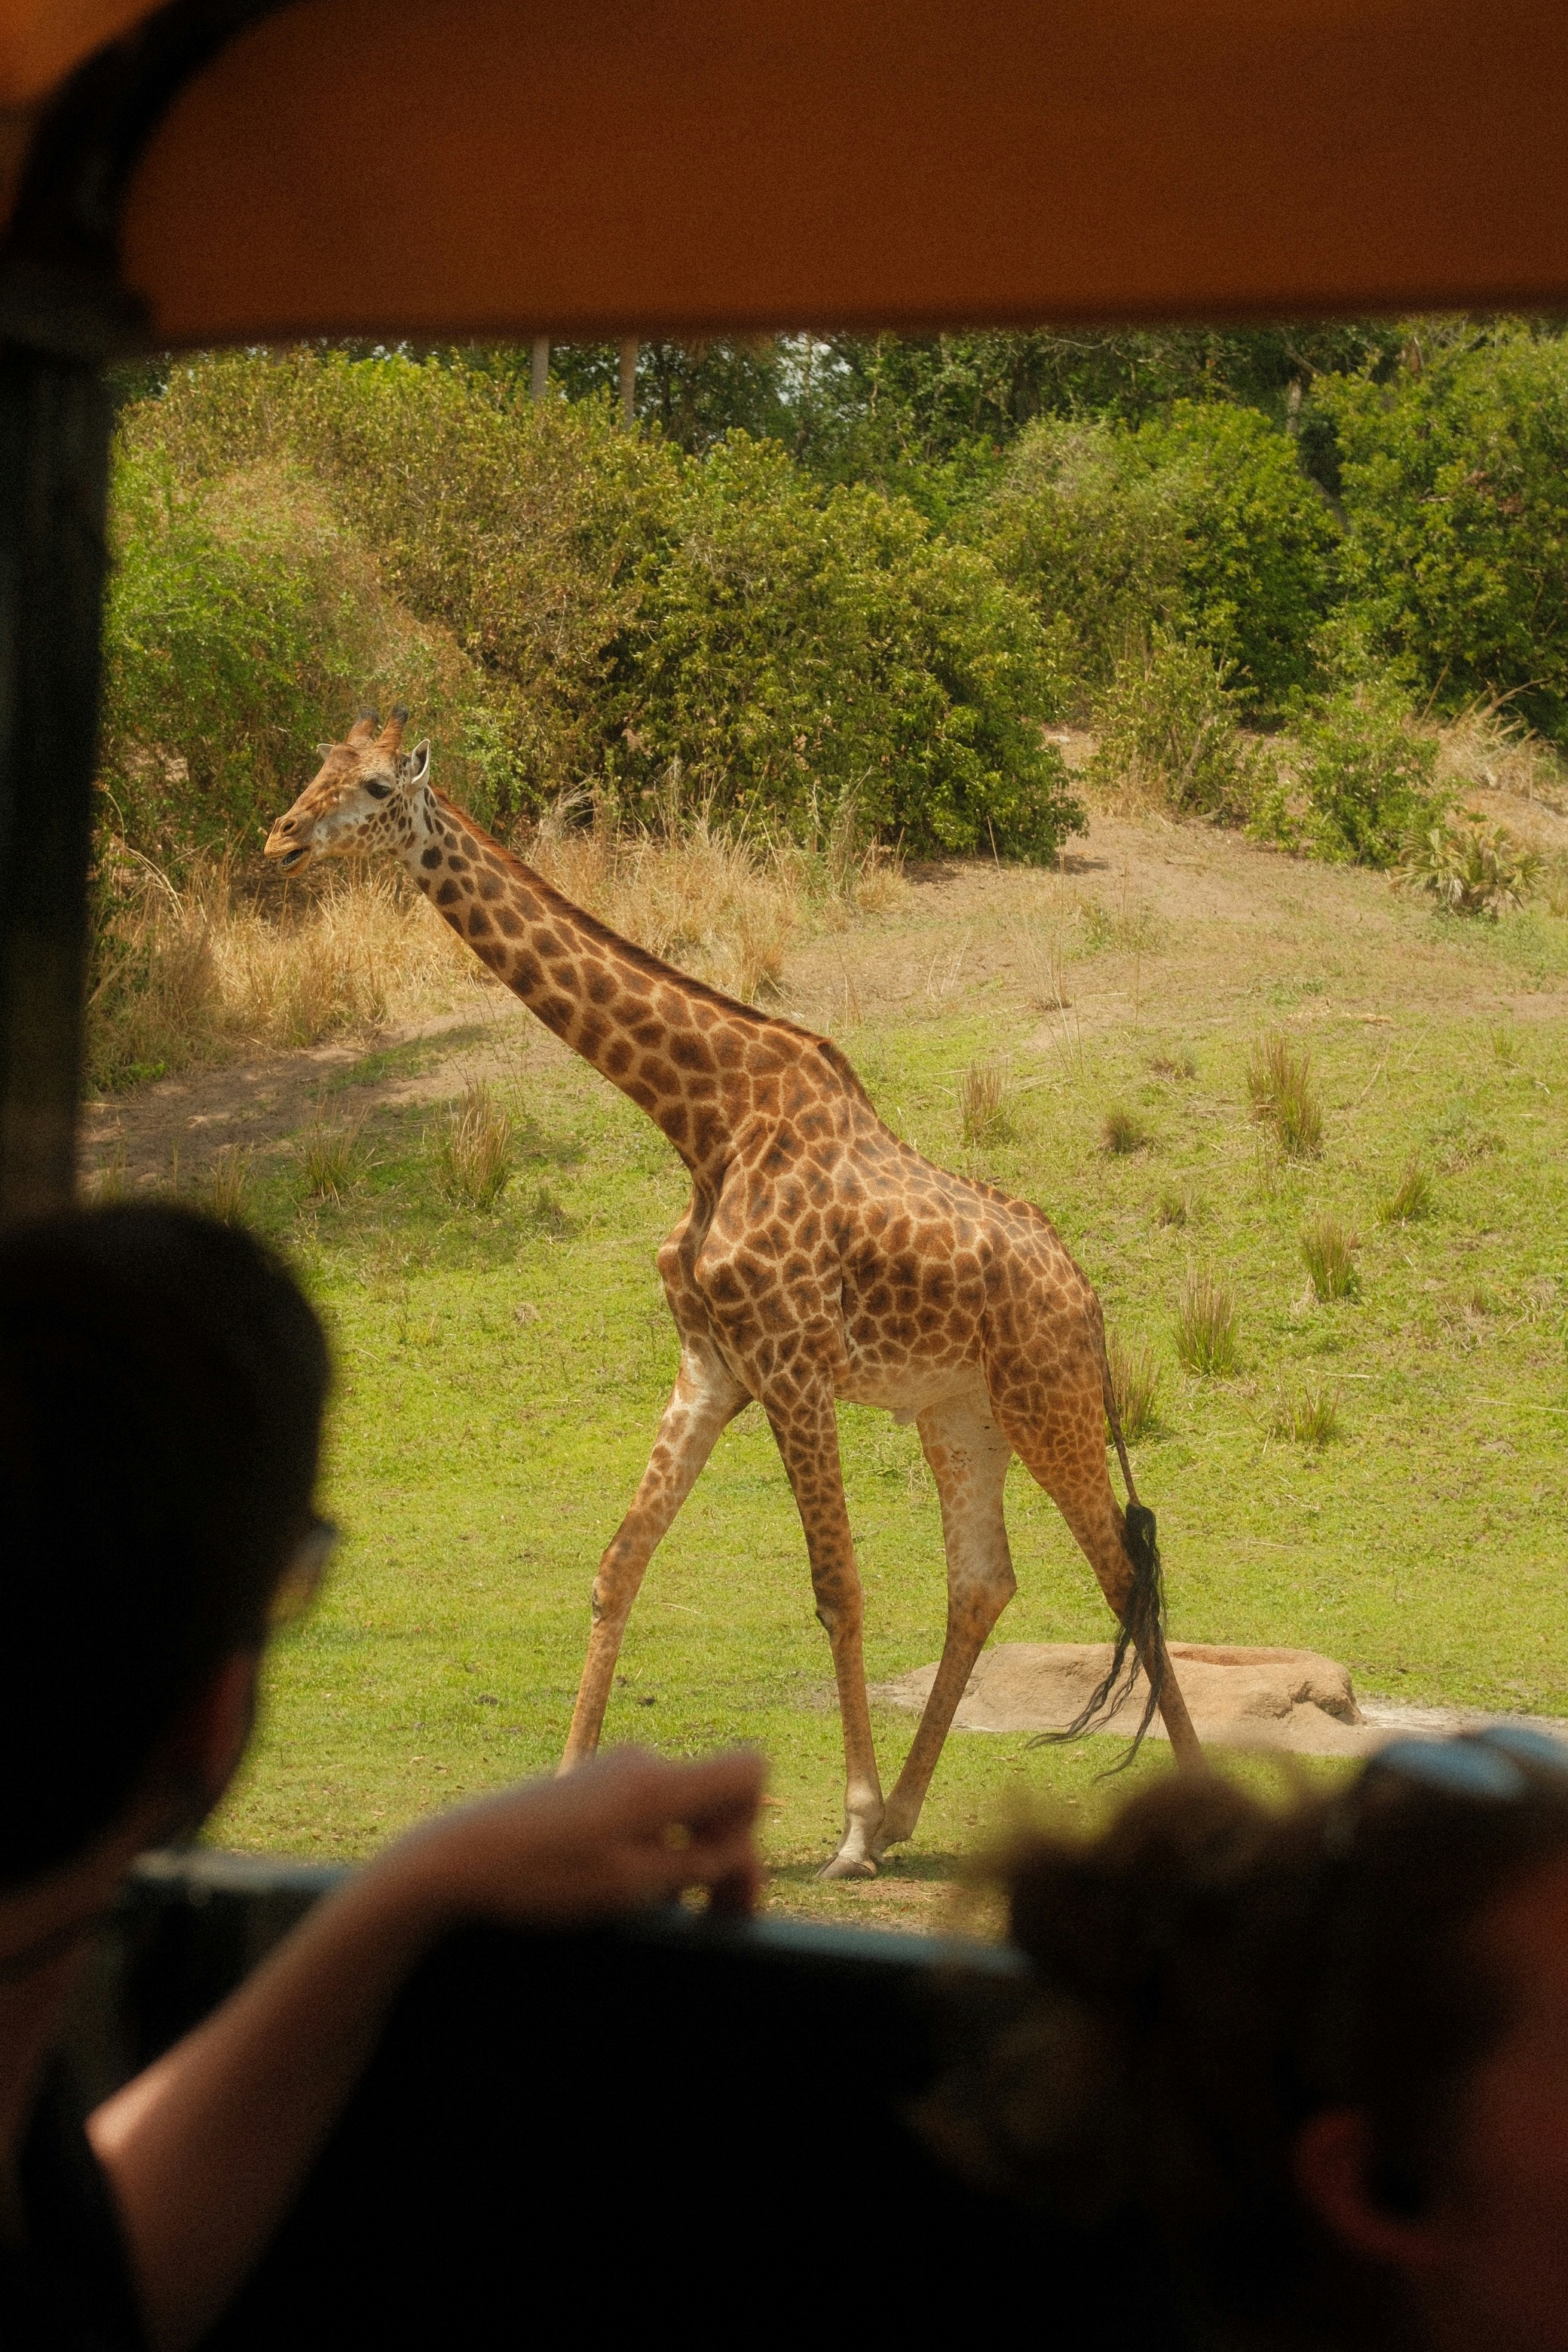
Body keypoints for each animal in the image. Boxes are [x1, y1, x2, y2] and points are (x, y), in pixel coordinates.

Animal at [267, 709, 1203, 1877]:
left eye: (379, 787)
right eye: (321, 767)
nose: (281, 839)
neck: (701, 1118)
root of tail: (1088, 1294)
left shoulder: (793, 1368)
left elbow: (837, 1588)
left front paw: (849, 1828)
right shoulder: (714, 1364)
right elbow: (618, 1564)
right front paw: (567, 1793)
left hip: (1051, 1400)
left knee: (1125, 1578)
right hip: (961, 1412)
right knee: (983, 1582)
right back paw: (910, 1813)